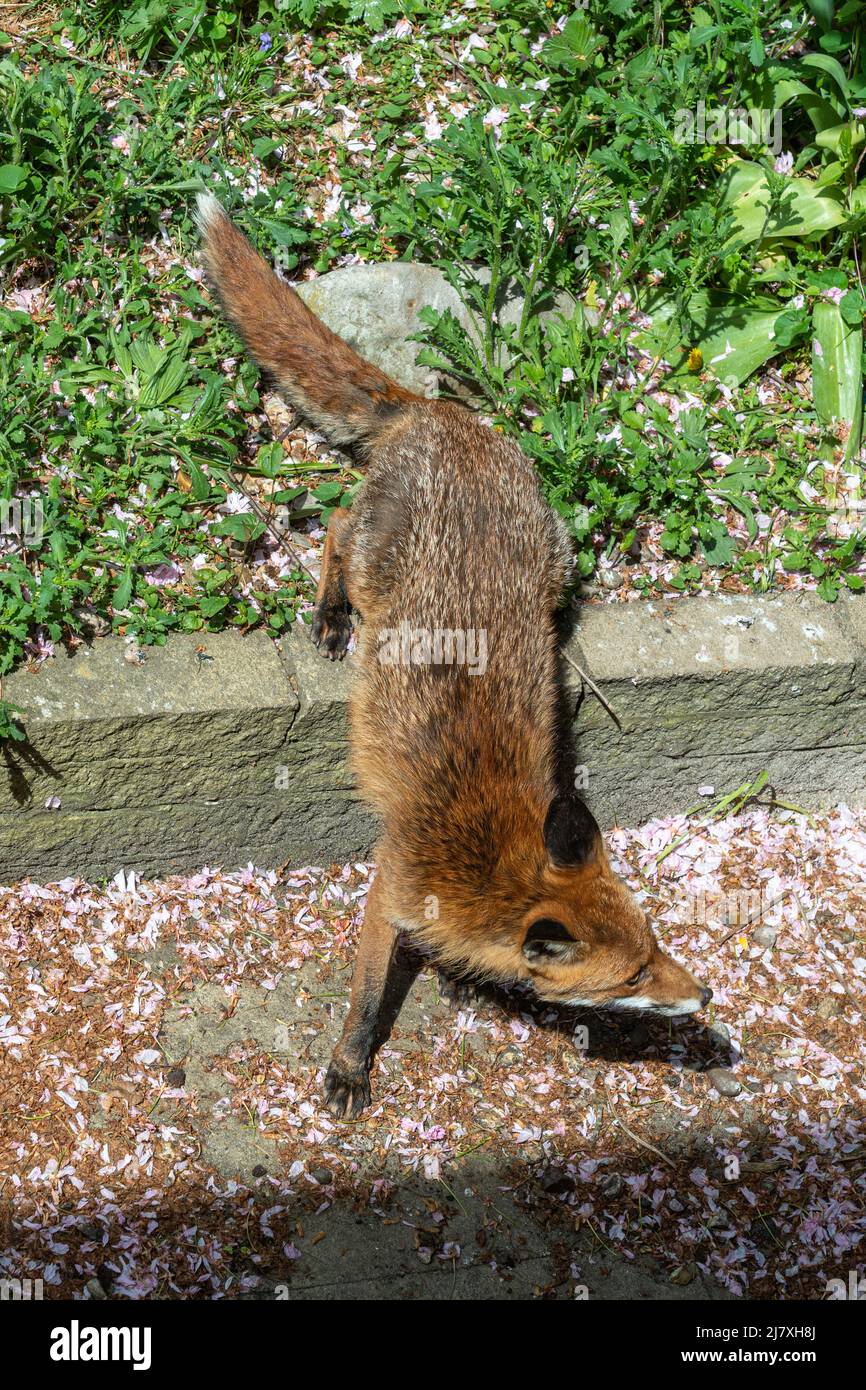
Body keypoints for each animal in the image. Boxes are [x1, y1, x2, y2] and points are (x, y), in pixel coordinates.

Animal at [196, 192, 713, 1117]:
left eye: (656, 946)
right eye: (632, 979)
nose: (708, 994)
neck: (493, 857)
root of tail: (444, 415)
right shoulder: (391, 893)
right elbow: (367, 997)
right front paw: (350, 1066)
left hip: (552, 561)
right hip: (374, 560)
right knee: (334, 526)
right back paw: (328, 615)